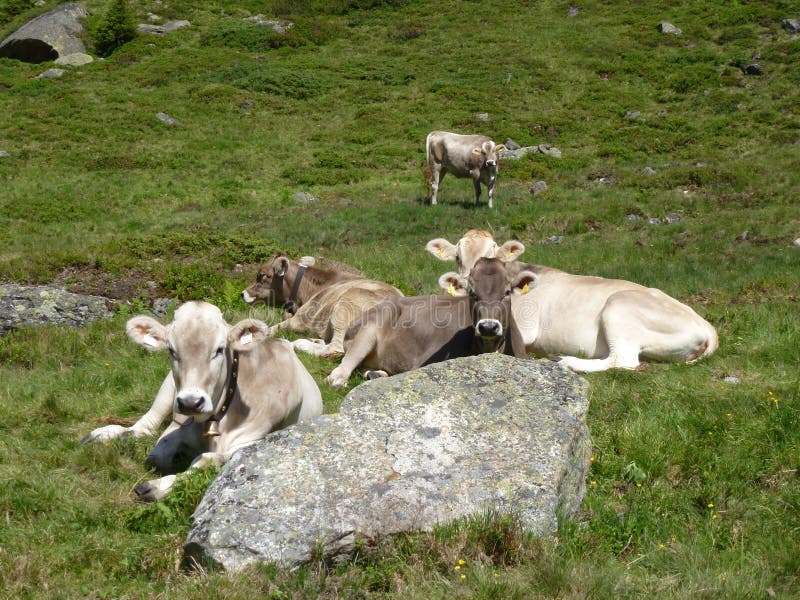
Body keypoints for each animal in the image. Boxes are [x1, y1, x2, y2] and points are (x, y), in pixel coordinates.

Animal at [81, 301, 322, 501]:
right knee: (145, 424)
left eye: (219, 349)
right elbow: (156, 455)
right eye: (171, 350)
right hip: (168, 388)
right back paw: (107, 434)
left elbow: (204, 459)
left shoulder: (253, 441)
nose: (191, 402)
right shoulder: (179, 424)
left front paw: (159, 485)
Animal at [242, 252, 403, 358]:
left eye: (263, 276)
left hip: (345, 306)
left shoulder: (300, 319)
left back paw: (301, 343)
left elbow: (270, 329)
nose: (243, 293)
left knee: (336, 348)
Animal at [326, 257, 532, 387]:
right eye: (472, 293)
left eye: (507, 292)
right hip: (371, 326)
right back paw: (338, 379)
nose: (488, 326)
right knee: (345, 364)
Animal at [427, 231, 718, 373]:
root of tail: (708, 327)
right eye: (458, 257)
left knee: (623, 359)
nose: (467, 283)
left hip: (618, 308)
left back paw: (565, 361)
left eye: (492, 256)